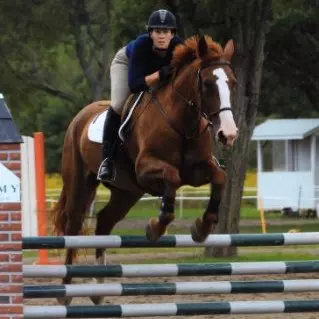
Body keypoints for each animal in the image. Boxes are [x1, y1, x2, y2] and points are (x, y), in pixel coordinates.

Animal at [52, 35, 238, 304]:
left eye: (232, 83)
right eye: (206, 83)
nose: (229, 134)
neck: (182, 122)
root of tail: (80, 117)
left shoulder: (197, 171)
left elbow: (220, 177)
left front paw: (202, 227)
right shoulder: (145, 170)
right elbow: (172, 177)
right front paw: (155, 227)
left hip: (127, 192)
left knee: (104, 222)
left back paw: (98, 289)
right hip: (80, 183)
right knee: (73, 227)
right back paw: (66, 291)